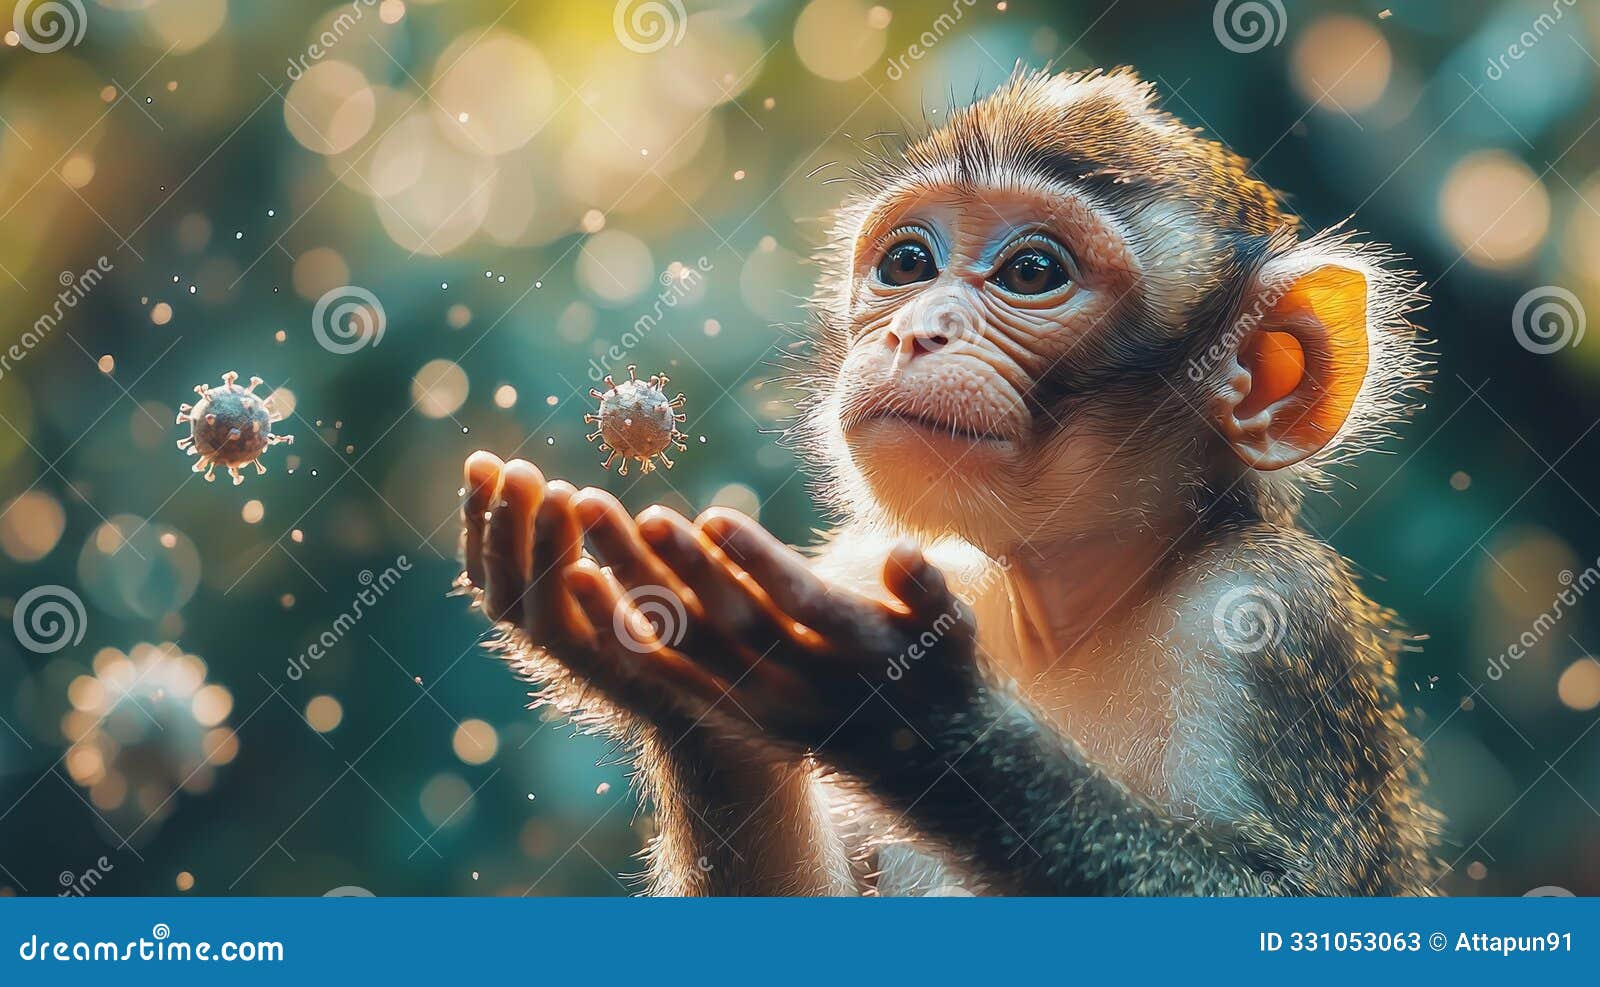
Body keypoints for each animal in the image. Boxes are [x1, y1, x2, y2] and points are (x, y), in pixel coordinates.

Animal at [457, 67, 1441, 896]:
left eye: (1032, 271)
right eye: (907, 264)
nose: (913, 330)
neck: (1061, 611)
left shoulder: (1268, 610)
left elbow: (1276, 890)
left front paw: (913, 716)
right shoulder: (865, 561)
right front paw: (686, 693)